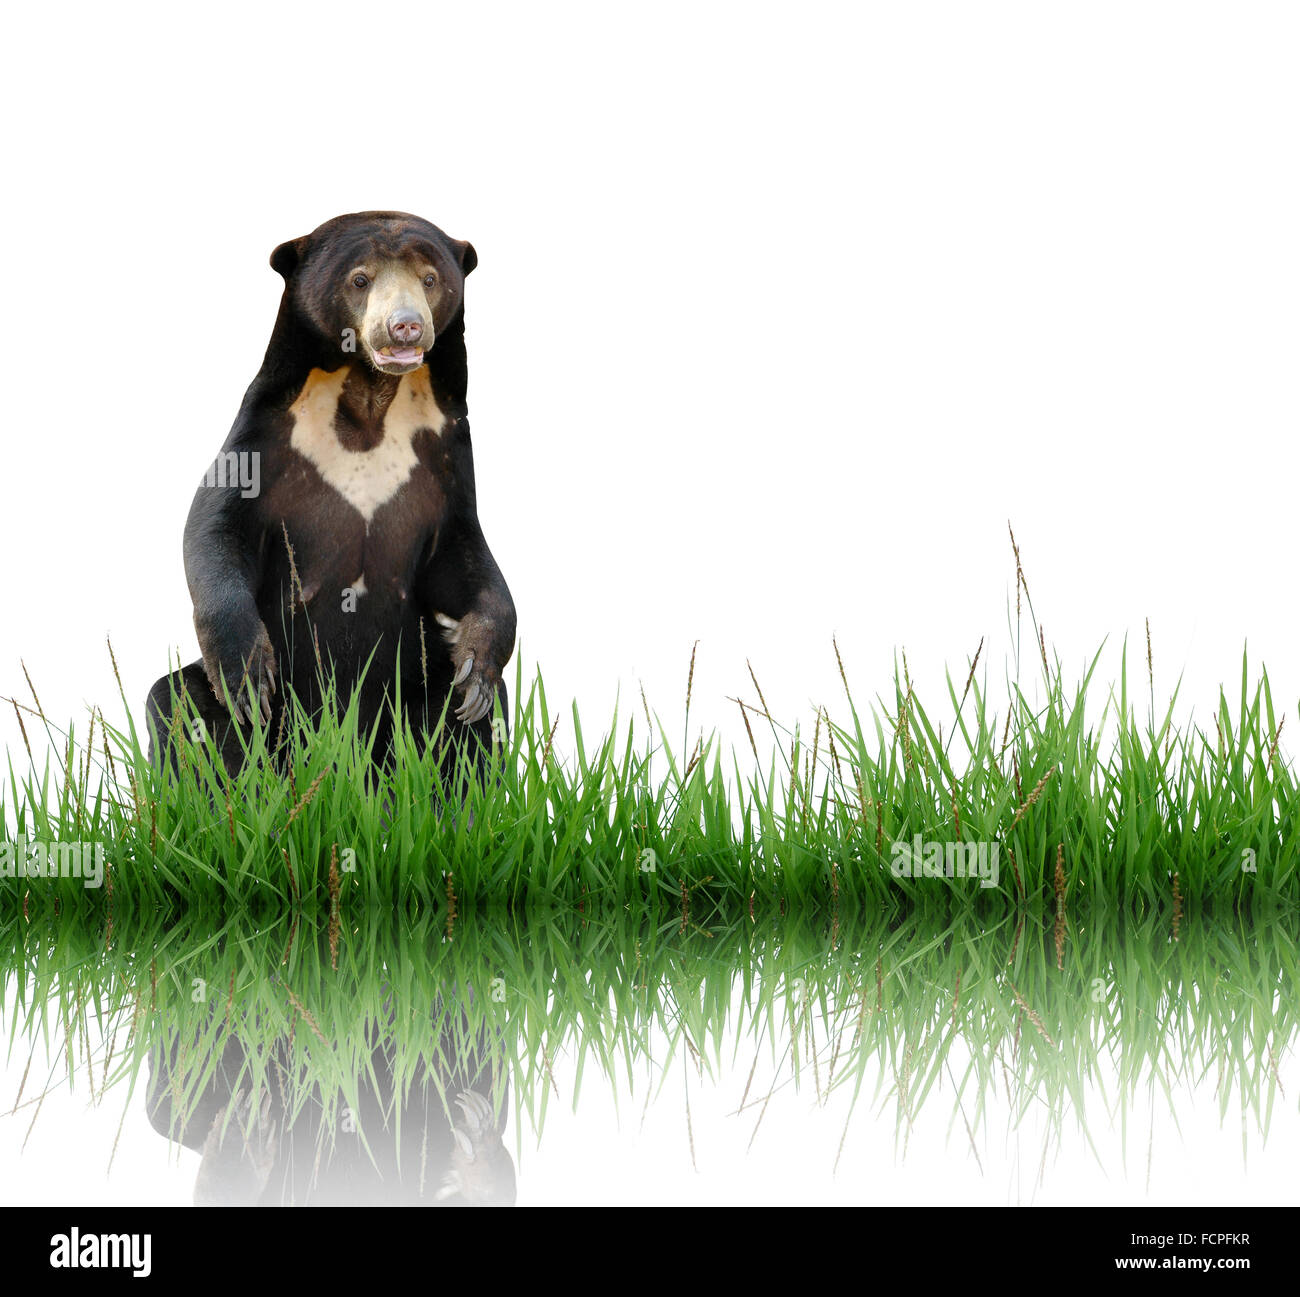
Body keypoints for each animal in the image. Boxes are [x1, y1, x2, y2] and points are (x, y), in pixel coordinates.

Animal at [145, 211, 515, 778]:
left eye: (430, 279)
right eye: (359, 279)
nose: (406, 325)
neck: (369, 397)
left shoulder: (445, 454)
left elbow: (464, 557)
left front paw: (476, 669)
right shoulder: (266, 432)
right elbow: (218, 527)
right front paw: (247, 677)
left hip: (414, 685)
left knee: (461, 733)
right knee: (180, 709)